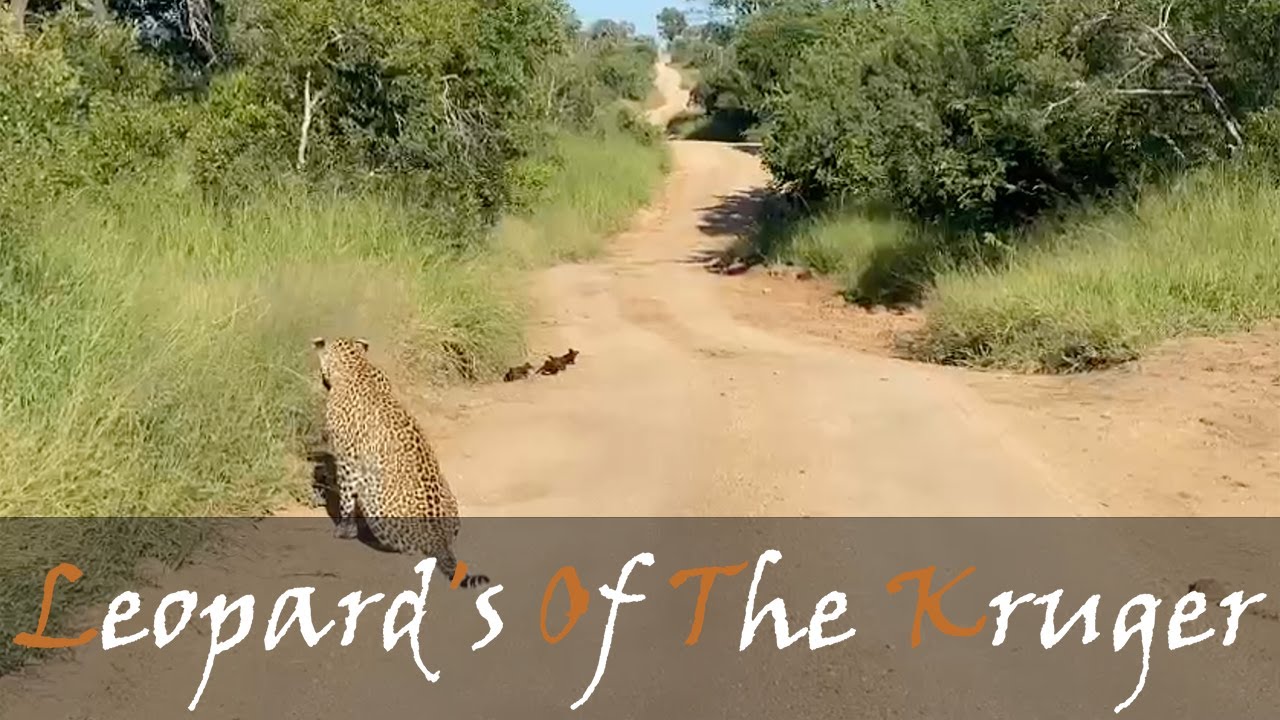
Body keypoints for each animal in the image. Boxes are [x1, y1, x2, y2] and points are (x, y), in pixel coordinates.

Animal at [310, 336, 490, 589]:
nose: (321, 378)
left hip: (374, 498)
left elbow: (346, 499)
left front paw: (345, 530)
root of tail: (440, 539)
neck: (357, 365)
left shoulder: (348, 462)